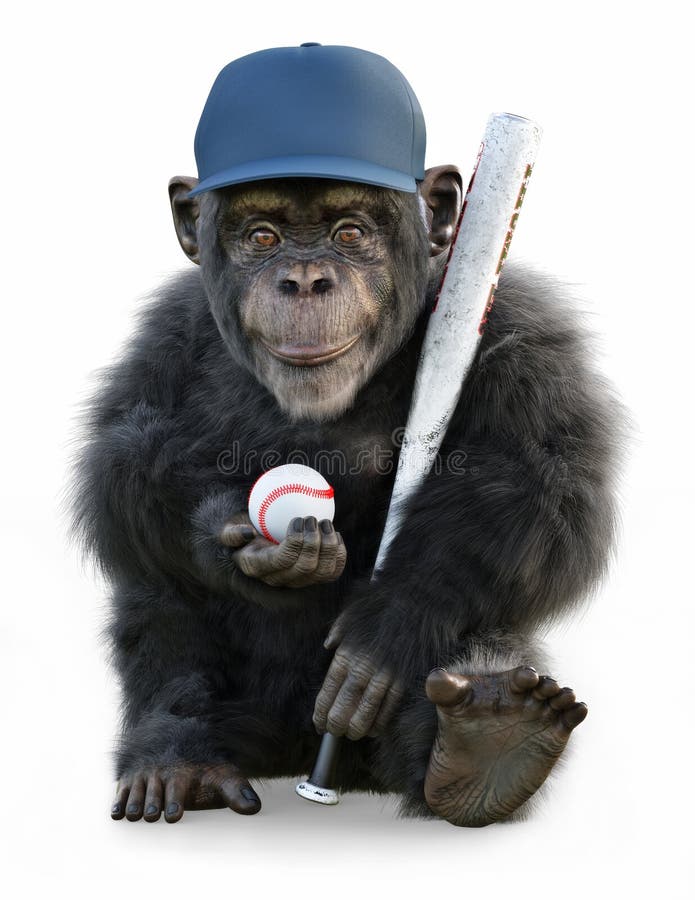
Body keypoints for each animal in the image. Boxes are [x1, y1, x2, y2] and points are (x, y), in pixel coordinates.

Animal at [72, 45, 624, 828]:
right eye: (262, 237)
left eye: (351, 233)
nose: (305, 279)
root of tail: (303, 757)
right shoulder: (167, 334)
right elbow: (123, 461)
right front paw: (233, 536)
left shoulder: (525, 333)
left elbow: (541, 483)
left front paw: (388, 624)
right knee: (154, 593)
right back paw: (177, 756)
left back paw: (486, 742)